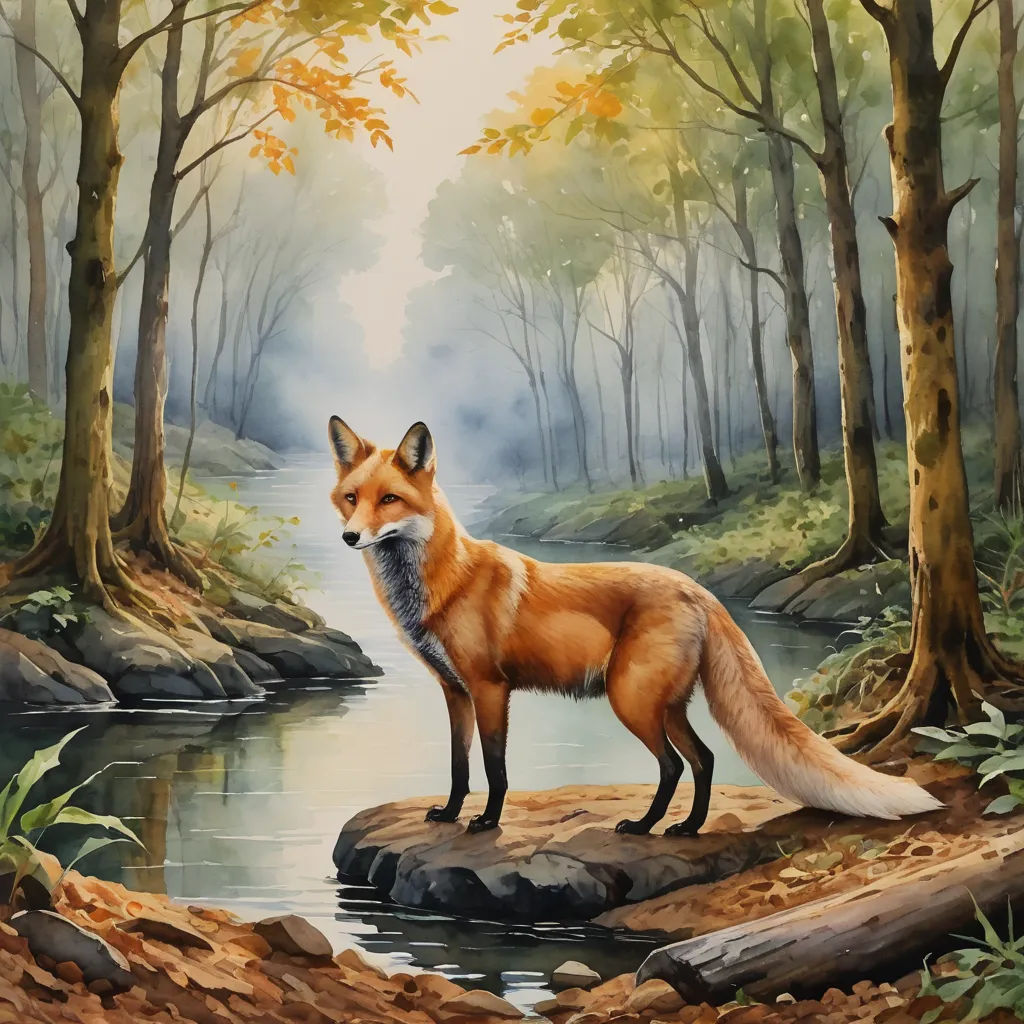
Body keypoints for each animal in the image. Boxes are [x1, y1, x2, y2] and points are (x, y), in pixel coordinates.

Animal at [328, 416, 942, 836]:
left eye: (390, 499)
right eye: (352, 498)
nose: (350, 537)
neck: (441, 585)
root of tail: (699, 588)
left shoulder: (489, 689)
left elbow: (496, 770)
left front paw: (487, 822)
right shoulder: (454, 691)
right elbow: (459, 767)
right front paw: (451, 814)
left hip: (631, 700)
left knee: (674, 765)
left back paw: (646, 827)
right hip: (662, 705)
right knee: (704, 759)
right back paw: (686, 828)